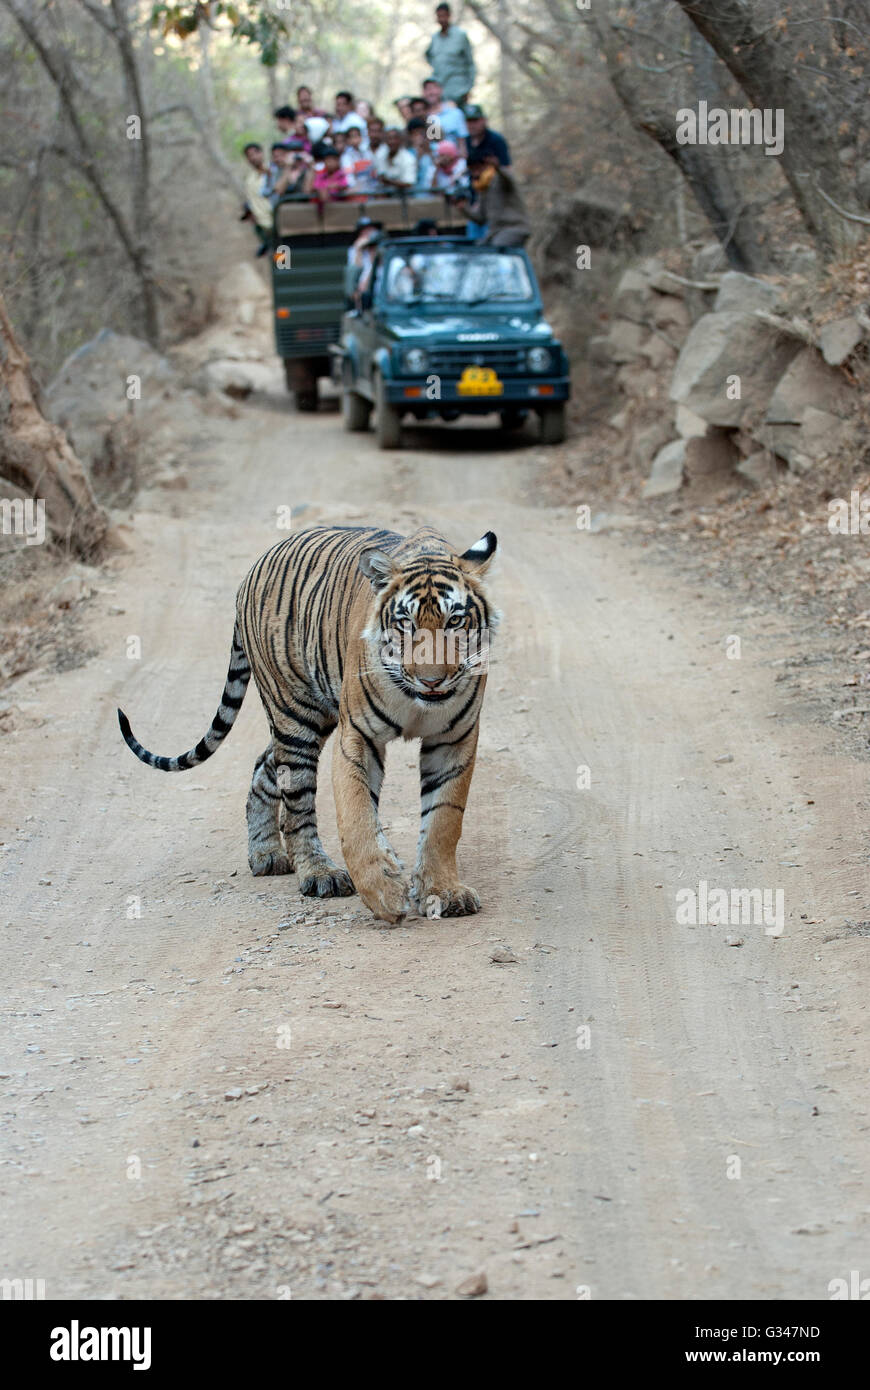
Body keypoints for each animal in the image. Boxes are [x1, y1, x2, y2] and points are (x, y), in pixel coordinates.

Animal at [118, 525, 499, 923]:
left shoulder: (454, 739)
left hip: (314, 718)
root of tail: (252, 570)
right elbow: (356, 816)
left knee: (263, 766)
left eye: (455, 621)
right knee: (297, 805)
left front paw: (443, 891)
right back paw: (319, 874)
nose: (431, 682)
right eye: (405, 624)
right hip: (295, 716)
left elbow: (443, 820)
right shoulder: (357, 734)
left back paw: (266, 854)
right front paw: (383, 892)